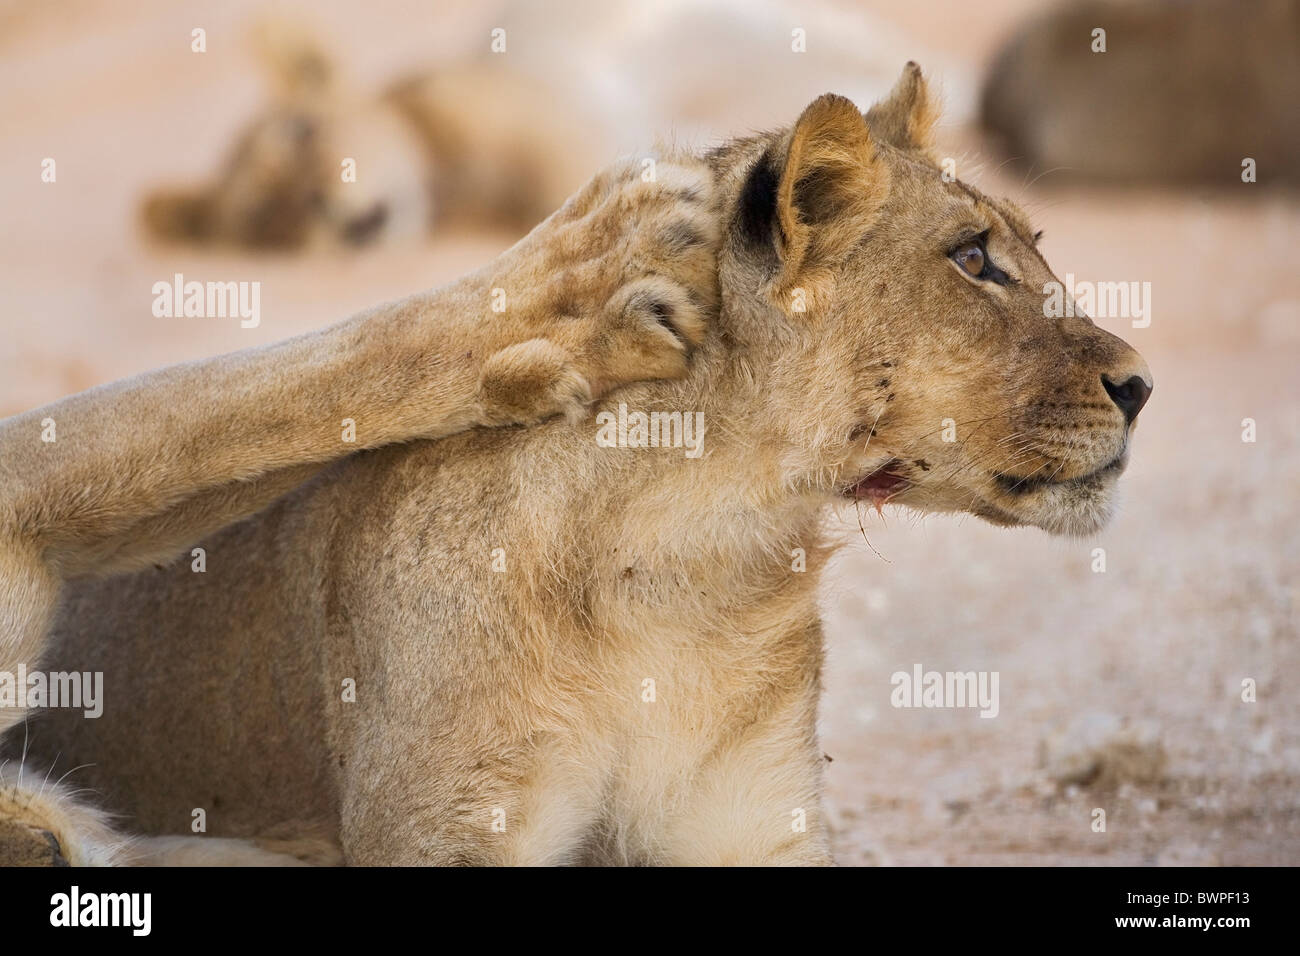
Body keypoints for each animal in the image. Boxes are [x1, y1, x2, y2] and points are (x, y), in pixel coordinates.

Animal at [2, 64, 1151, 865]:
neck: (691, 552)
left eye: (1031, 245)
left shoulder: (751, 819)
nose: (1142, 385)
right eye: (974, 259)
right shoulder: (450, 828)